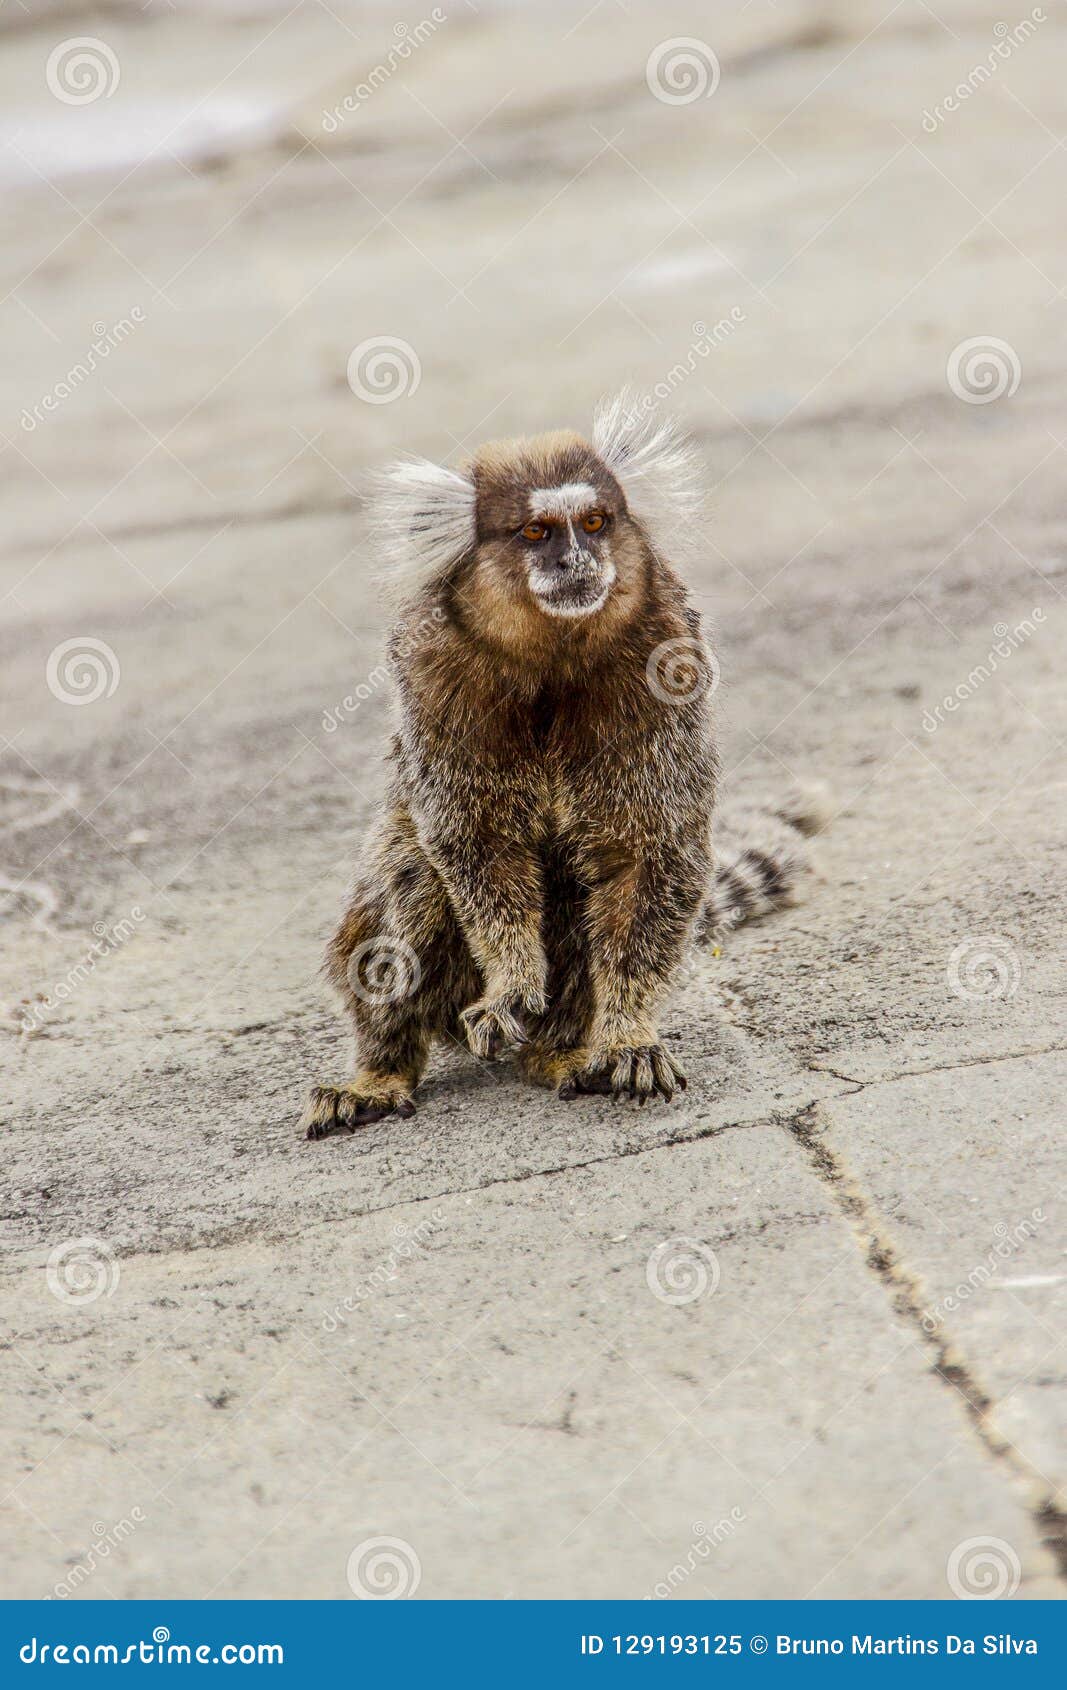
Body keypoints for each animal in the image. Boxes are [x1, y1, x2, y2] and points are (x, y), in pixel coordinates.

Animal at [302, 393, 824, 1138]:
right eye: (537, 531)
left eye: (595, 522)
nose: (577, 560)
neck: (551, 659)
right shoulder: (431, 672)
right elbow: (472, 844)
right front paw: (513, 981)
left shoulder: (668, 656)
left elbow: (650, 853)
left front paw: (626, 1034)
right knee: (407, 876)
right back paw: (381, 1070)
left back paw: (565, 1053)